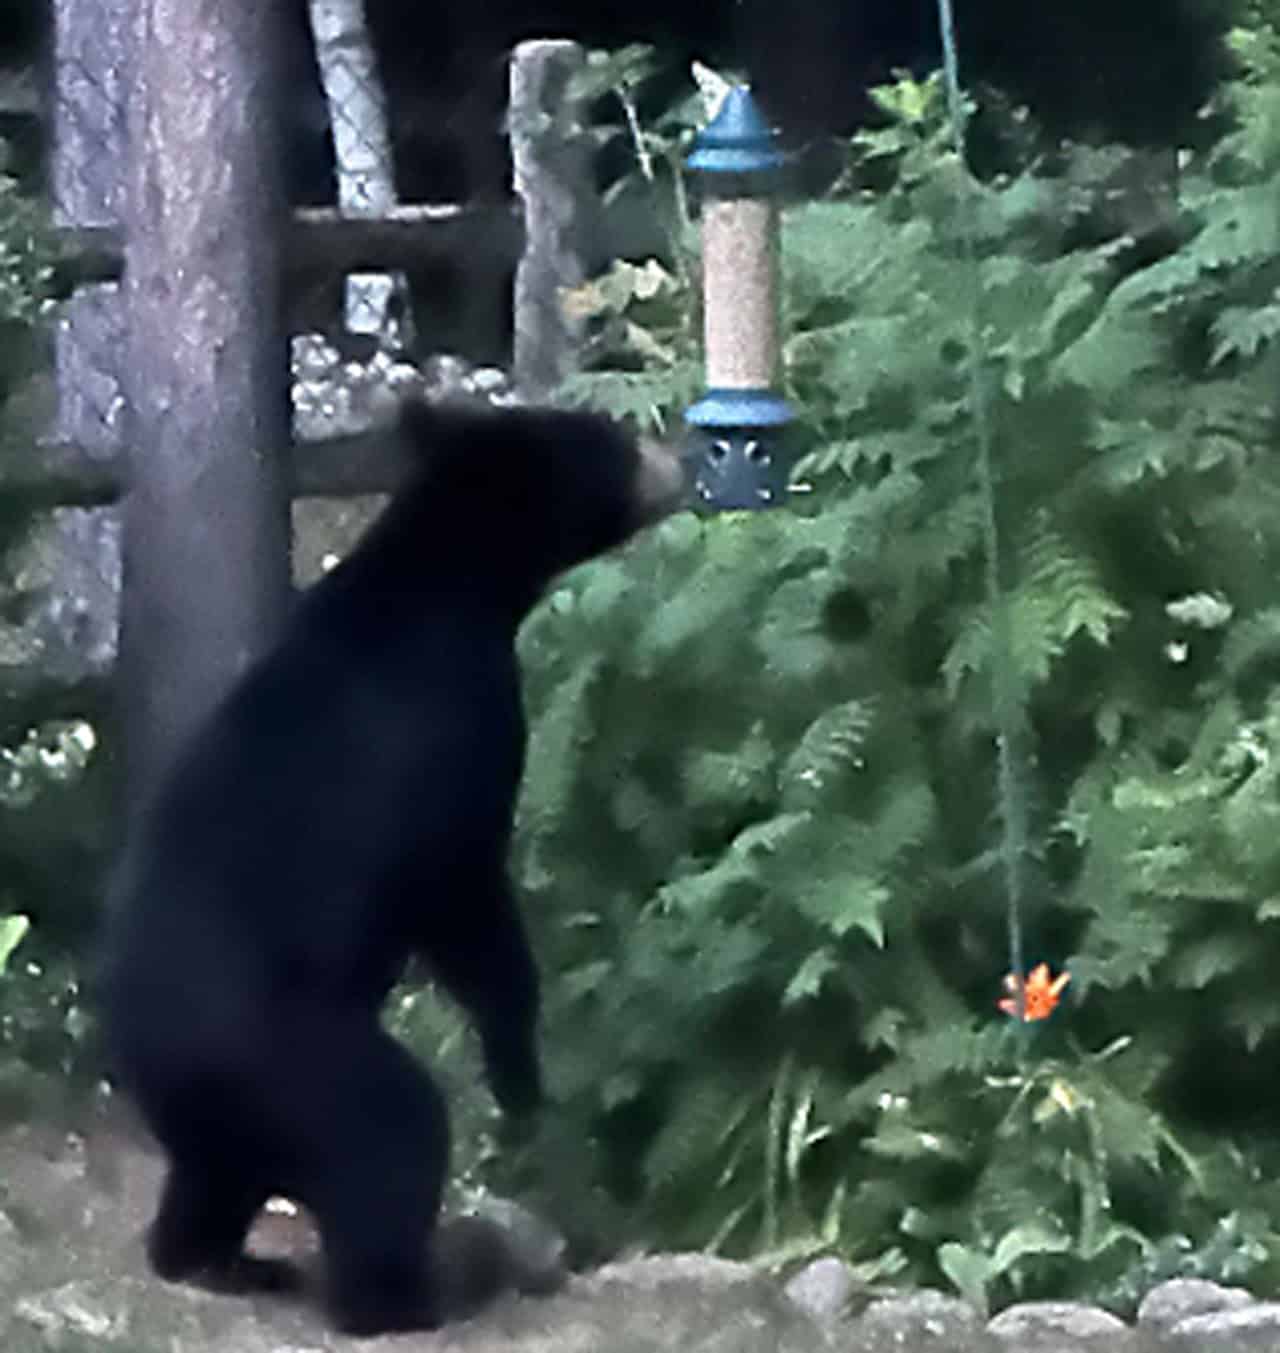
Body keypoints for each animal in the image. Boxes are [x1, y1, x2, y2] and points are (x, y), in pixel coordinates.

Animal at [99, 397, 687, 1336]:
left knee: (212, 1180)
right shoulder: (463, 713)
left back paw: (221, 1259)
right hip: (291, 1052)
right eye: (616, 441)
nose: (679, 459)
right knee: (390, 1135)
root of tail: (137, 1048)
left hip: (222, 1111)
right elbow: (464, 886)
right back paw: (409, 1294)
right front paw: (519, 1069)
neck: (448, 572)